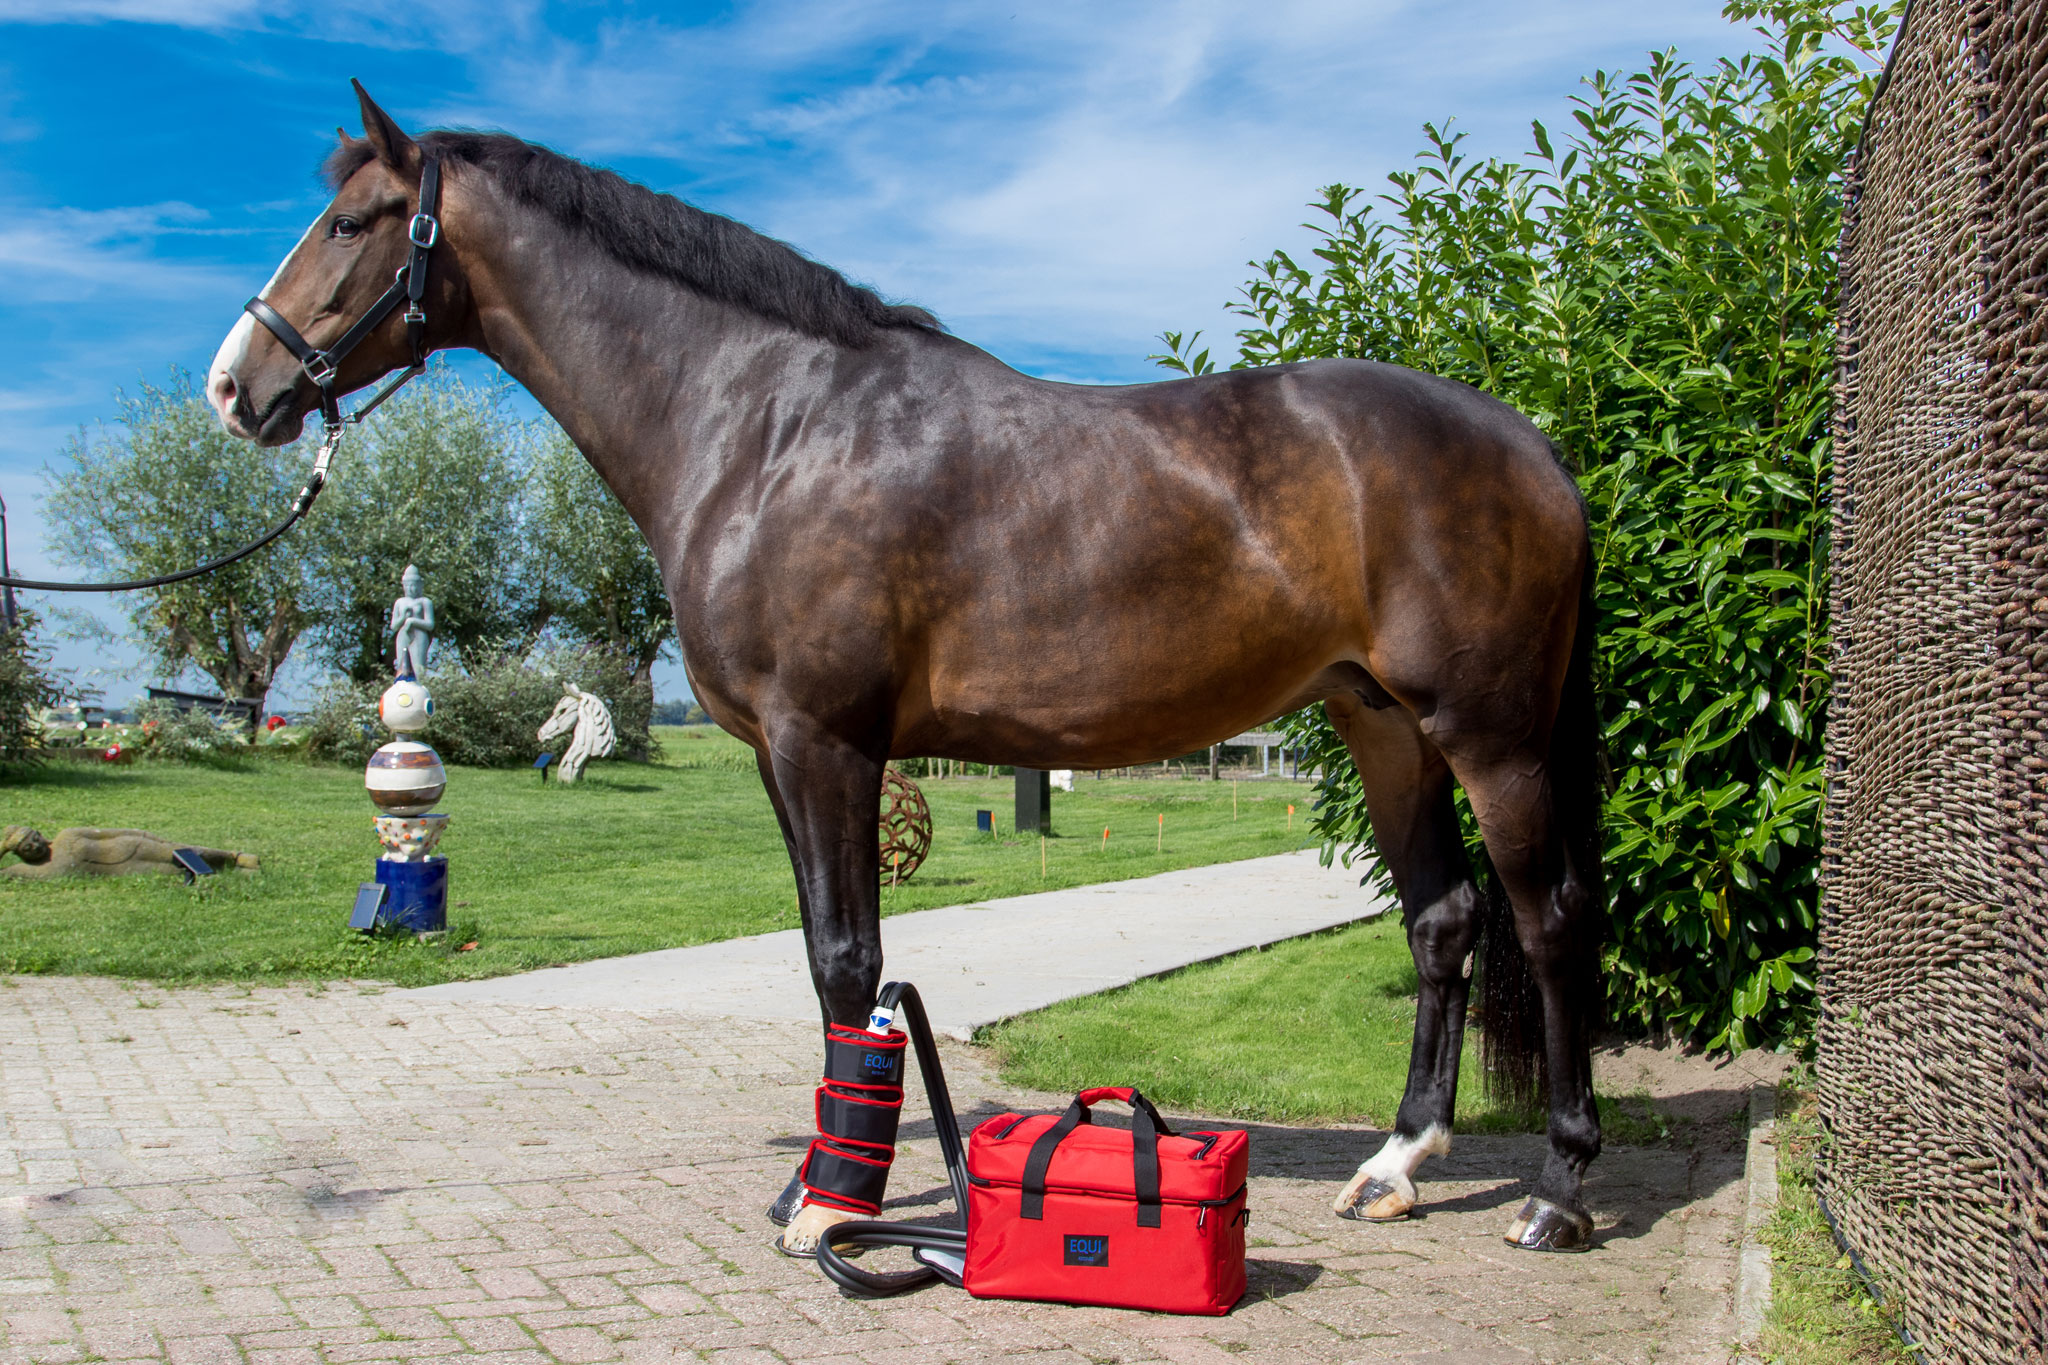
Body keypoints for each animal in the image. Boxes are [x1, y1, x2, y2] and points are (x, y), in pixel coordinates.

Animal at [206, 85, 1607, 1256]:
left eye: (349, 222)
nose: (236, 386)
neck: (767, 424)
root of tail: (1530, 446)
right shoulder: (781, 757)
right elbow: (829, 955)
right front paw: (818, 1183)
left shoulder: (825, 740)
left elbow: (843, 958)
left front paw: (830, 1203)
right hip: (1384, 727)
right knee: (1441, 919)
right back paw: (1396, 1164)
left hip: (1488, 736)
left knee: (1545, 920)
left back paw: (1554, 1192)